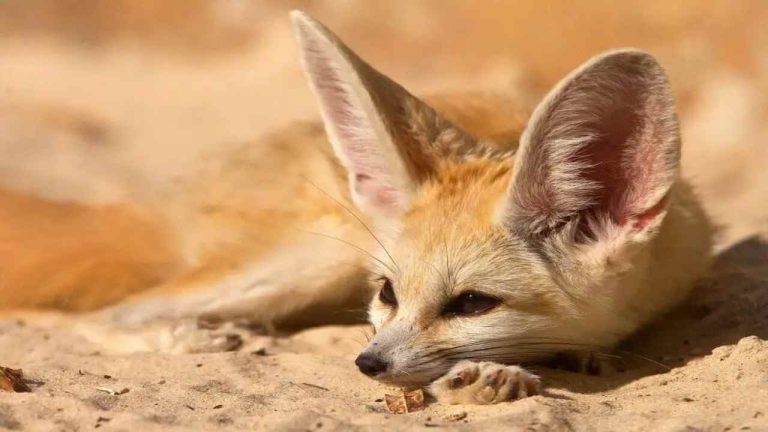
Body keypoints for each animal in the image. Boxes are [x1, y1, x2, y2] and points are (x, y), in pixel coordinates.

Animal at [0, 11, 712, 405]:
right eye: (387, 293)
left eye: (472, 304)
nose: (367, 363)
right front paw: (490, 378)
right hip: (310, 259)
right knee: (112, 312)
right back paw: (188, 336)